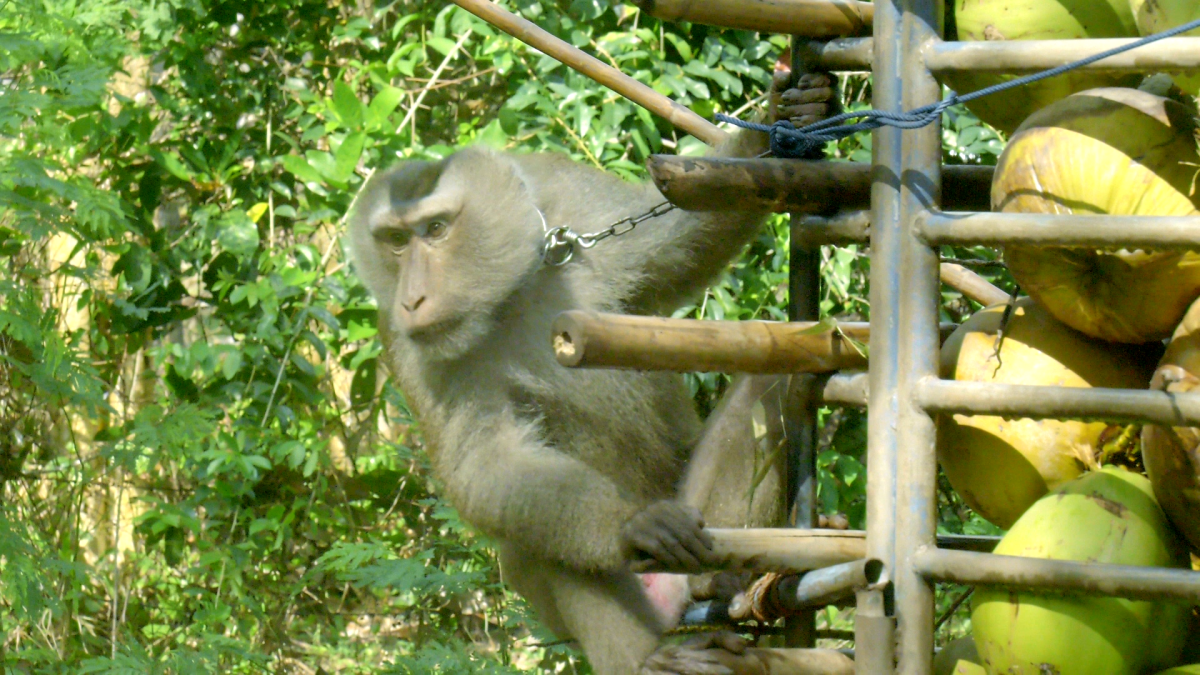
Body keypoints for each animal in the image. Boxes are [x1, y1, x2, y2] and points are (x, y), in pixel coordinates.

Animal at [346, 71, 836, 674]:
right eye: (395, 241)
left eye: (435, 228)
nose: (413, 298)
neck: (508, 295)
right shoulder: (406, 344)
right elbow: (485, 466)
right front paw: (628, 525)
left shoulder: (571, 199)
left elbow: (688, 238)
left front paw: (792, 111)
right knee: (537, 532)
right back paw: (651, 657)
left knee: (765, 386)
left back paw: (718, 580)